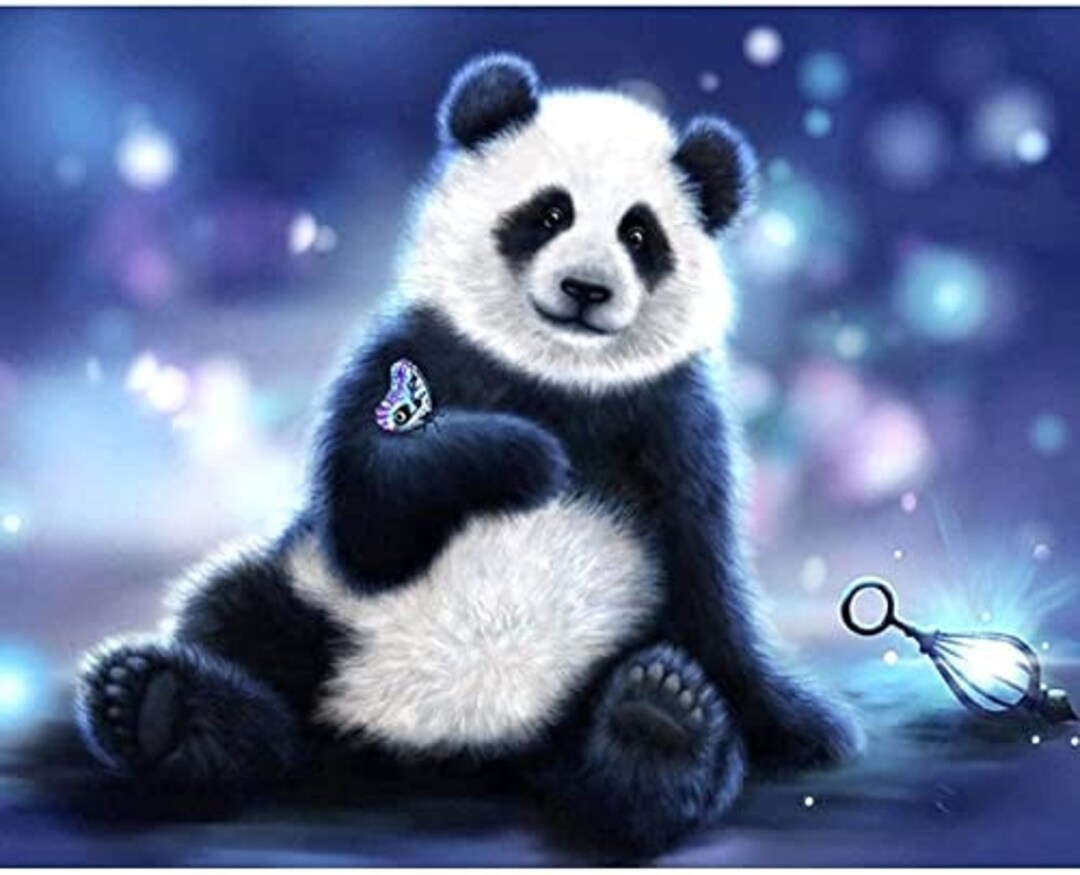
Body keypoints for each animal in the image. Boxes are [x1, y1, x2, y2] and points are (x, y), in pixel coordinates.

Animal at [75, 53, 863, 855]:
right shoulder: (412, 352)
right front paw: (530, 455)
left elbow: (706, 576)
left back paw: (658, 723)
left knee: (642, 749)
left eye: (640, 234)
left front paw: (794, 725)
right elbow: (369, 520)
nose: (586, 288)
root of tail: (438, 750)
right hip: (305, 600)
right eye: (550, 214)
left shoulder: (672, 421)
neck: (555, 375)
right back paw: (158, 704)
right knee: (237, 632)